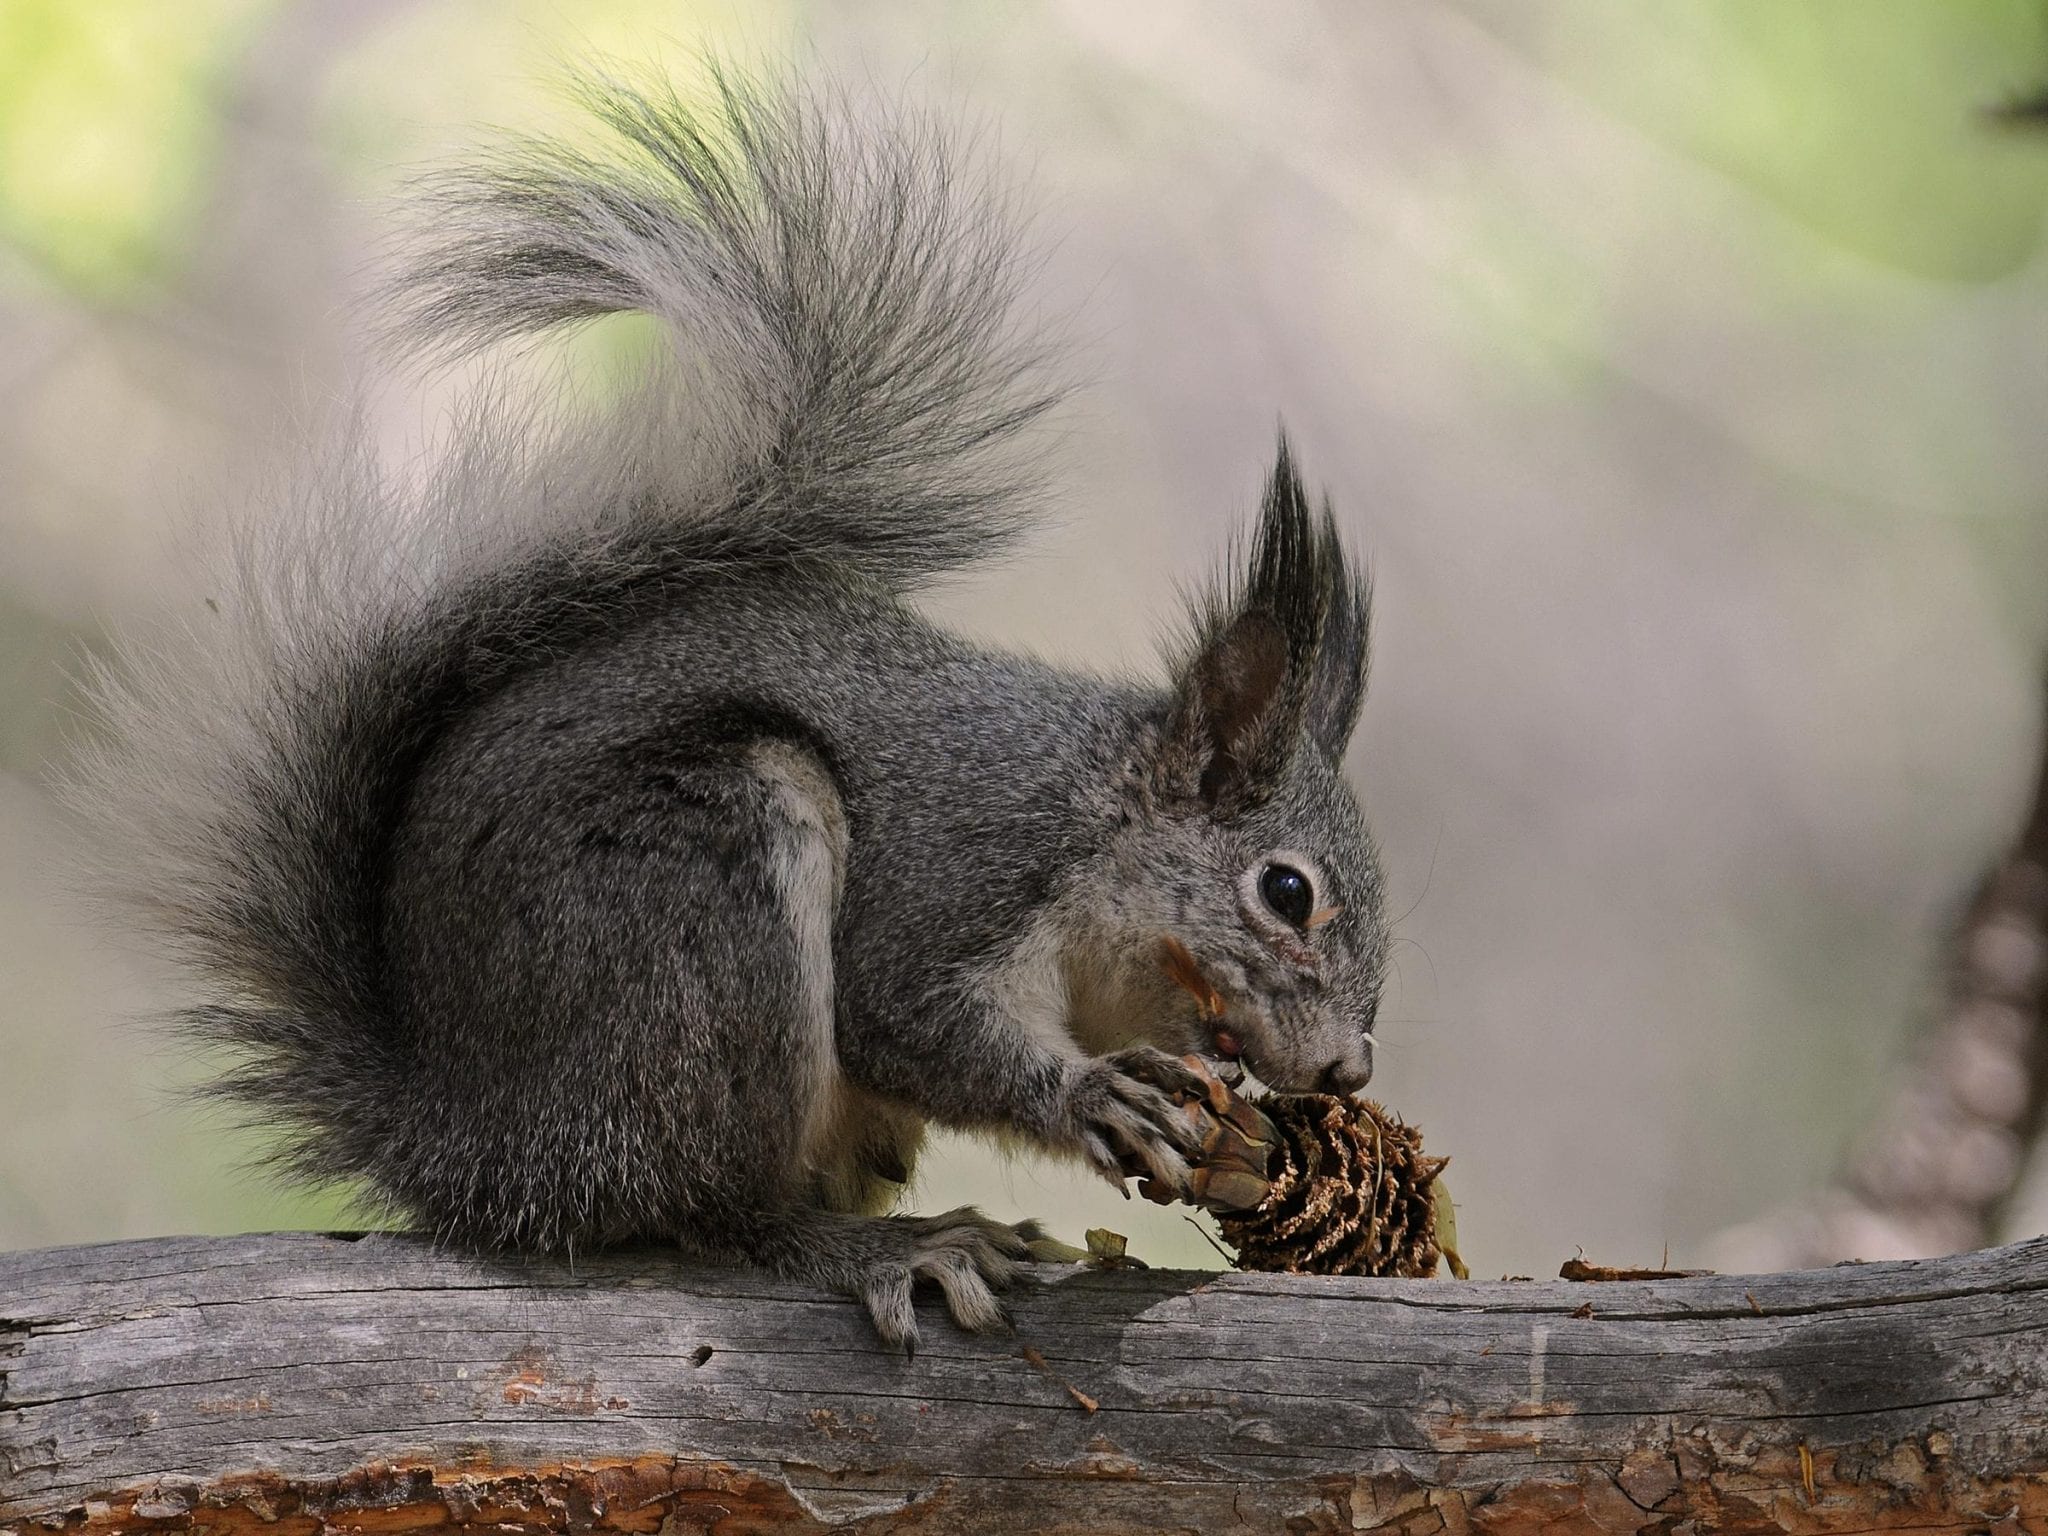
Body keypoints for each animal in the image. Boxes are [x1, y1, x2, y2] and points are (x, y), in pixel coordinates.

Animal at [71, 66, 1389, 1350]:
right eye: (1285, 892)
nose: (1345, 1069)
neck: (1090, 827)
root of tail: (473, 1141)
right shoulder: (956, 868)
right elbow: (903, 1016)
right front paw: (1089, 1096)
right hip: (703, 907)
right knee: (711, 1213)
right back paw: (880, 1250)